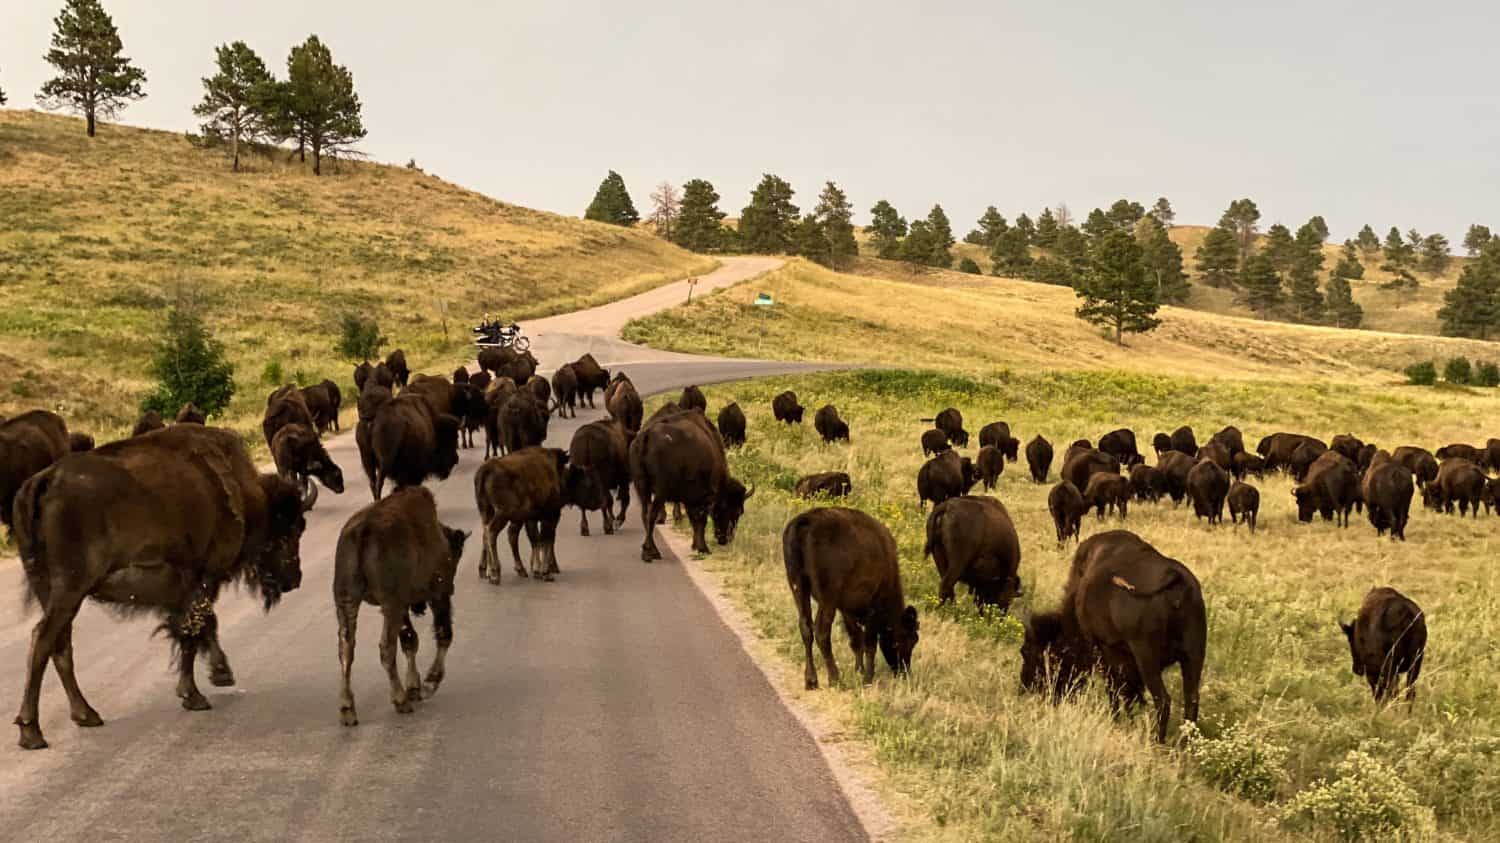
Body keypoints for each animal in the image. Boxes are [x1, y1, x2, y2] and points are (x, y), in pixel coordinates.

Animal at [11, 425, 309, 749]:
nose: (294, 578)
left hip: (49, 590)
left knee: (60, 645)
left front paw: (220, 675)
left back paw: (86, 715)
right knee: (43, 639)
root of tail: (44, 479)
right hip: (70, 590)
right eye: (289, 530)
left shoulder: (183, 589)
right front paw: (196, 694)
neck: (237, 490)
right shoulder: (204, 578)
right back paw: (32, 732)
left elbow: (200, 627)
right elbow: (194, 630)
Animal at [333, 486, 468, 725]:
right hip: (391, 604)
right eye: (457, 554)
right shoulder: (438, 594)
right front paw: (429, 683)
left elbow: (409, 640)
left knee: (346, 649)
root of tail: (362, 531)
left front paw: (414, 686)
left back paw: (347, 709)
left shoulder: (402, 604)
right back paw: (400, 700)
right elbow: (443, 634)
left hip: (348, 600)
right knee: (386, 648)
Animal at [783, 507, 919, 688]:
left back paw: (811, 680)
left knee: (806, 627)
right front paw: (867, 677)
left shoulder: (847, 609)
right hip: (827, 599)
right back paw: (834, 678)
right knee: (822, 631)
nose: (904, 673)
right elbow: (869, 643)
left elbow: (856, 641)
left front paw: (859, 671)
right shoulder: (872, 608)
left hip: (798, 587)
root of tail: (804, 522)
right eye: (910, 639)